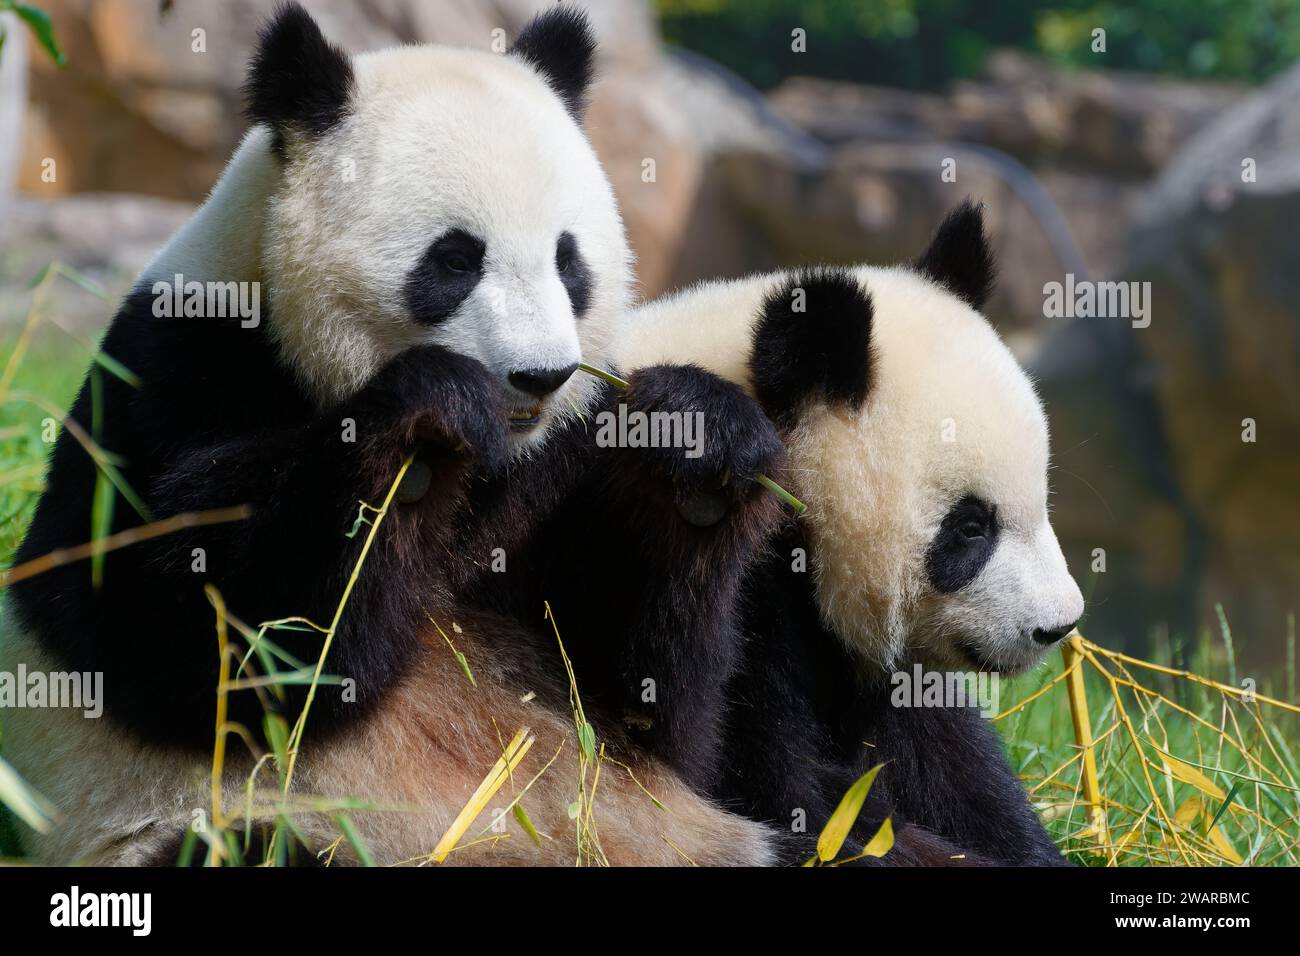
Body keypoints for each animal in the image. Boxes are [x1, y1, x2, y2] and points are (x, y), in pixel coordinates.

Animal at [0, 3, 784, 866]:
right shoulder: (171, 376)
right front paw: (429, 418)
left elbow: (636, 699)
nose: (541, 376)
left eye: (569, 260)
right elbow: (191, 631)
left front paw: (697, 439)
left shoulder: (558, 473)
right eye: (455, 259)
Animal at [615, 200, 1086, 865]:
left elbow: (945, 761)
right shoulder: (745, 593)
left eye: (1041, 497)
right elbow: (787, 797)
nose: (1057, 625)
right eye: (970, 527)